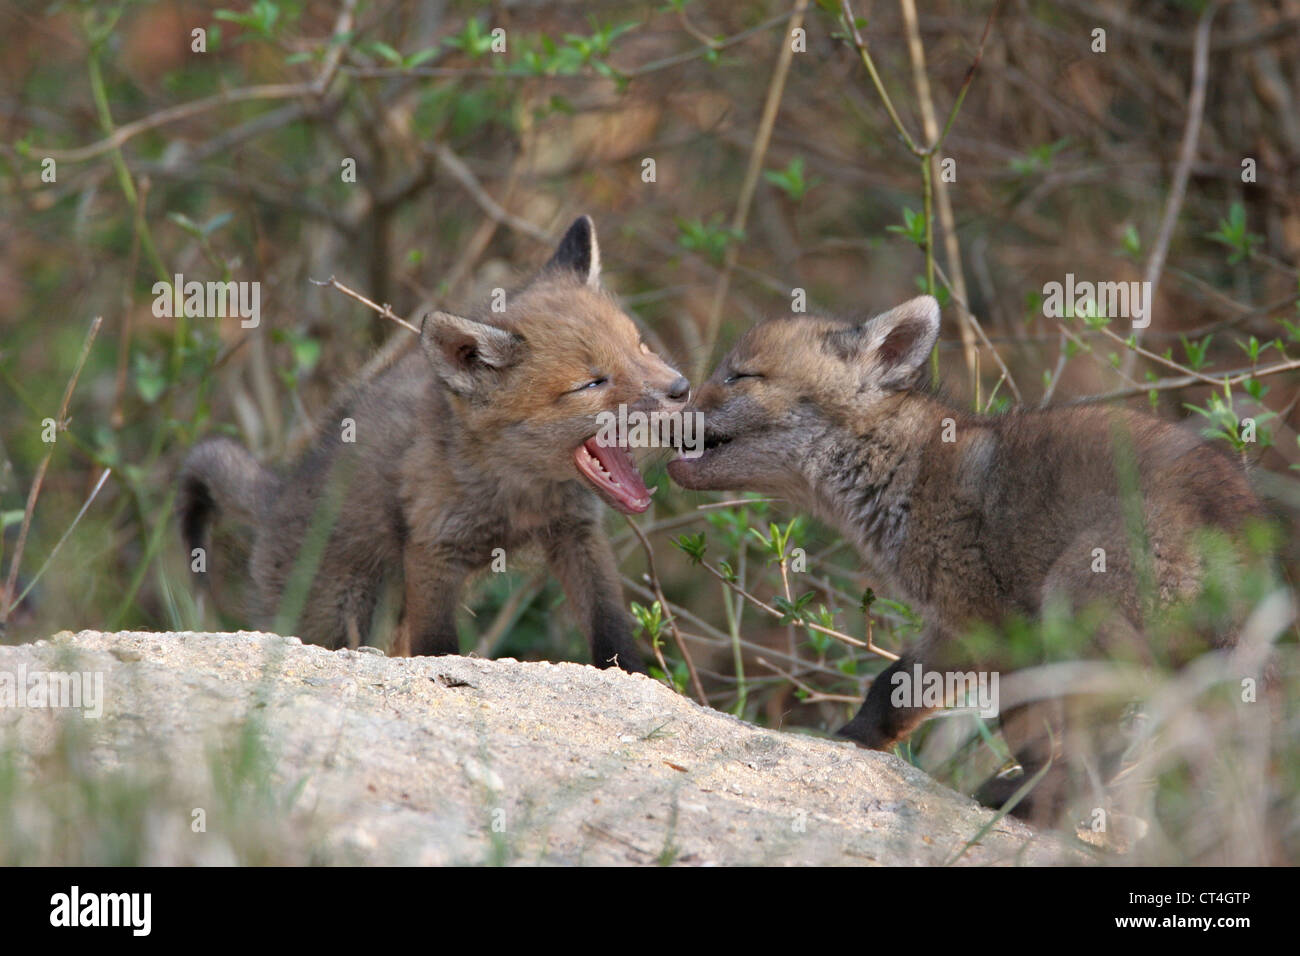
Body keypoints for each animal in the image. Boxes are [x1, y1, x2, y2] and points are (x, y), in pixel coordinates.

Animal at [180, 216, 689, 672]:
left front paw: (634, 679)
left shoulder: (576, 533)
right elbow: (438, 647)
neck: (519, 492)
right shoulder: (433, 549)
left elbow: (610, 627)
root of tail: (278, 496)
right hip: (339, 611)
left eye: (640, 347)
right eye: (592, 383)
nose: (682, 388)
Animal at [669, 295, 1271, 823]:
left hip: (1080, 608)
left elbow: (1023, 730)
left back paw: (1040, 804)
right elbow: (892, 689)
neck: (905, 468)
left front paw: (1028, 791)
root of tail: (1238, 525)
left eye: (740, 376)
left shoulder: (992, 628)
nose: (667, 406)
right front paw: (850, 740)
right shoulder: (958, 628)